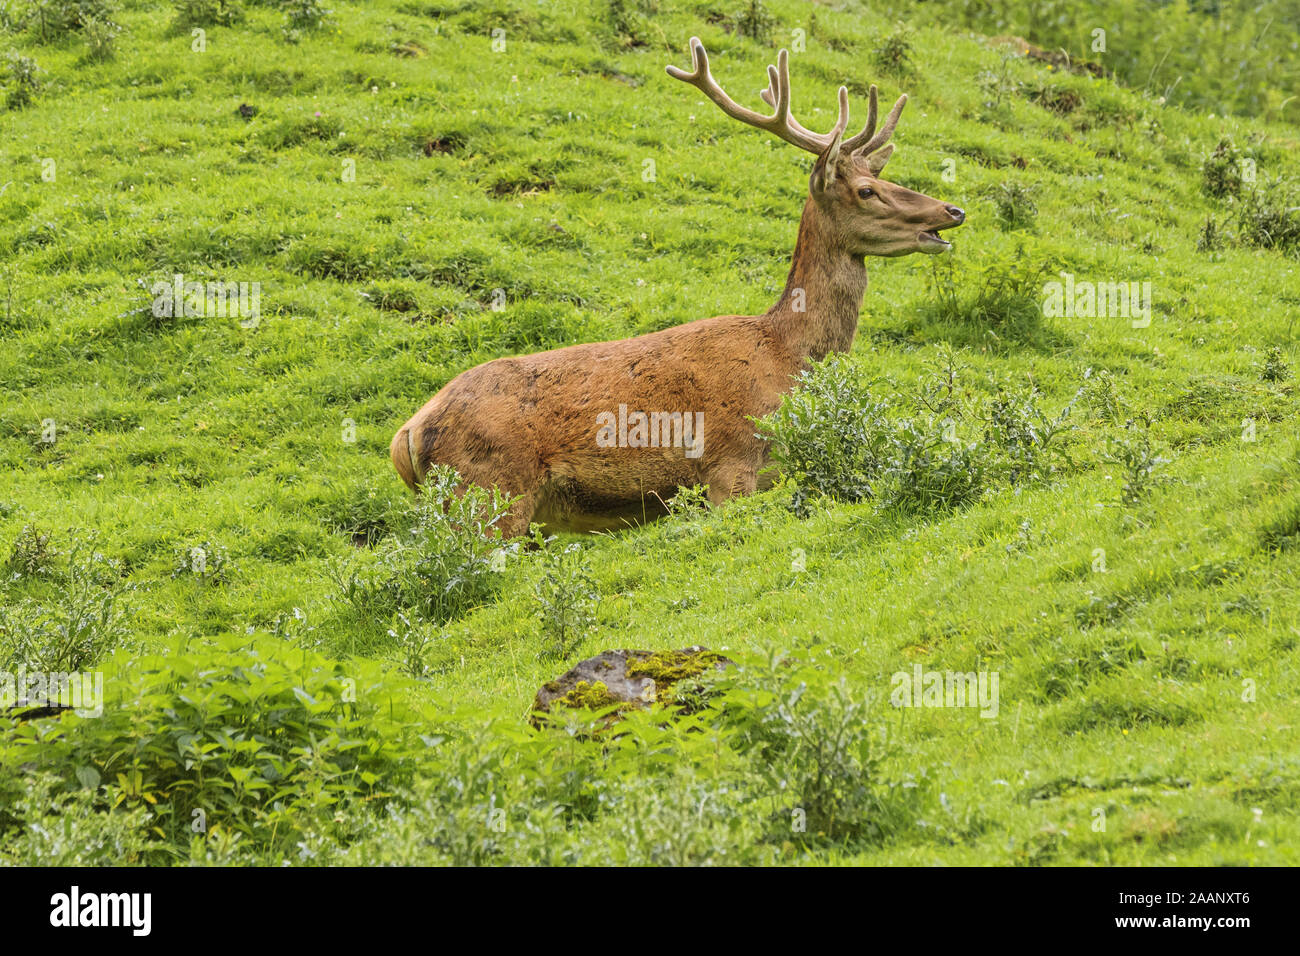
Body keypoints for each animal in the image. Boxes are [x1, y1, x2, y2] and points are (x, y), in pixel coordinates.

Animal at [390, 37, 965, 537]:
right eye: (867, 190)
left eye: (885, 178)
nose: (952, 210)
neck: (786, 357)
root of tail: (407, 436)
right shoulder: (730, 462)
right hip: (492, 491)